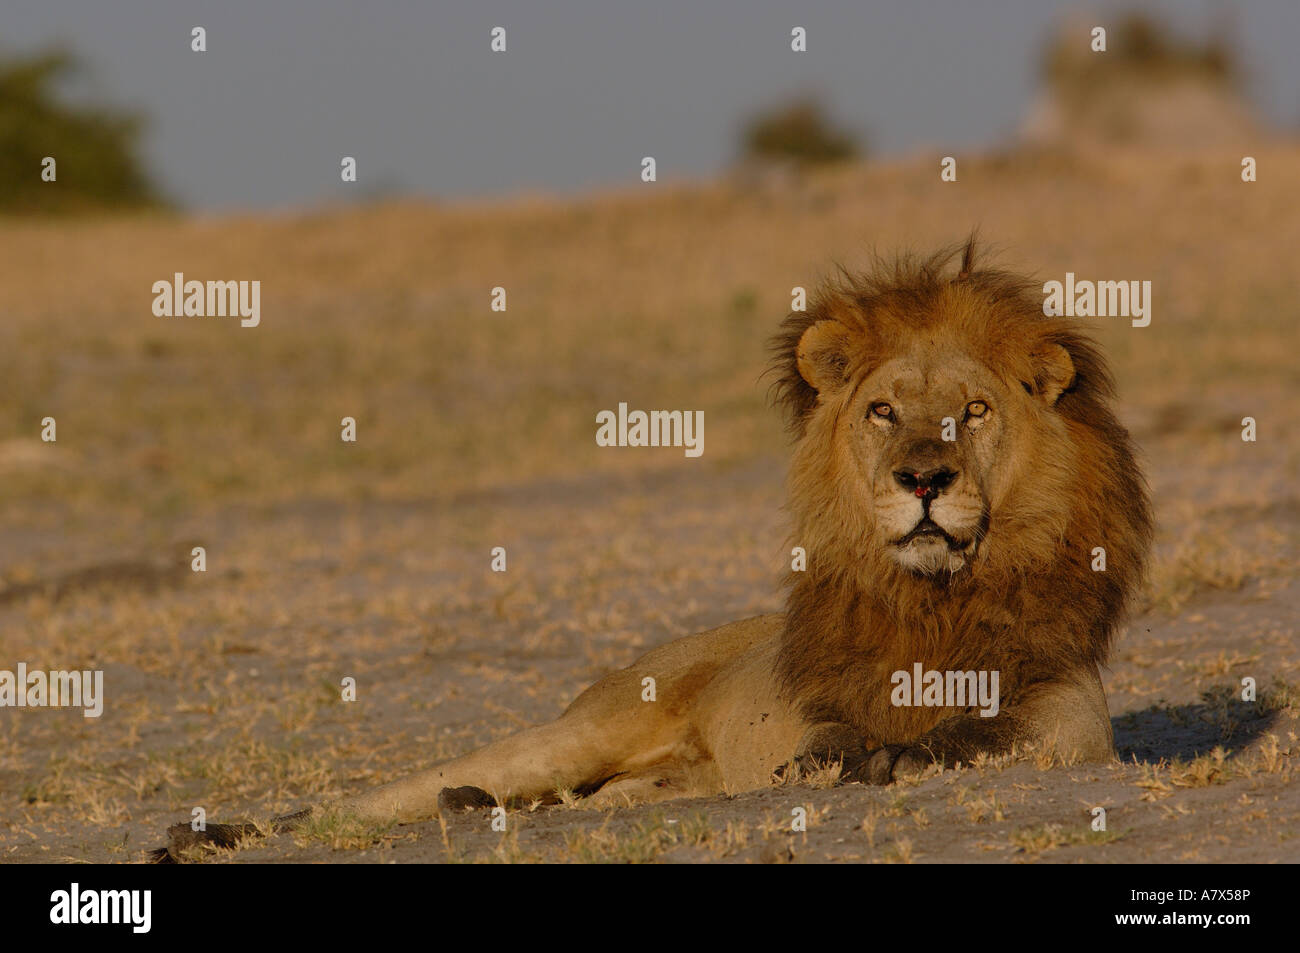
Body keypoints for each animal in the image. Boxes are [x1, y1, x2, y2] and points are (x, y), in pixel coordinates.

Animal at [155, 238, 1152, 859]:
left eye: (974, 411)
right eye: (882, 410)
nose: (923, 479)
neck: (933, 593)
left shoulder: (1069, 709)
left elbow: (996, 731)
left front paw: (911, 753)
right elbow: (833, 732)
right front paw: (840, 758)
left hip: (664, 783)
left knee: (585, 800)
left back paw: (471, 810)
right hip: (577, 731)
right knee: (369, 797)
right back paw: (208, 834)